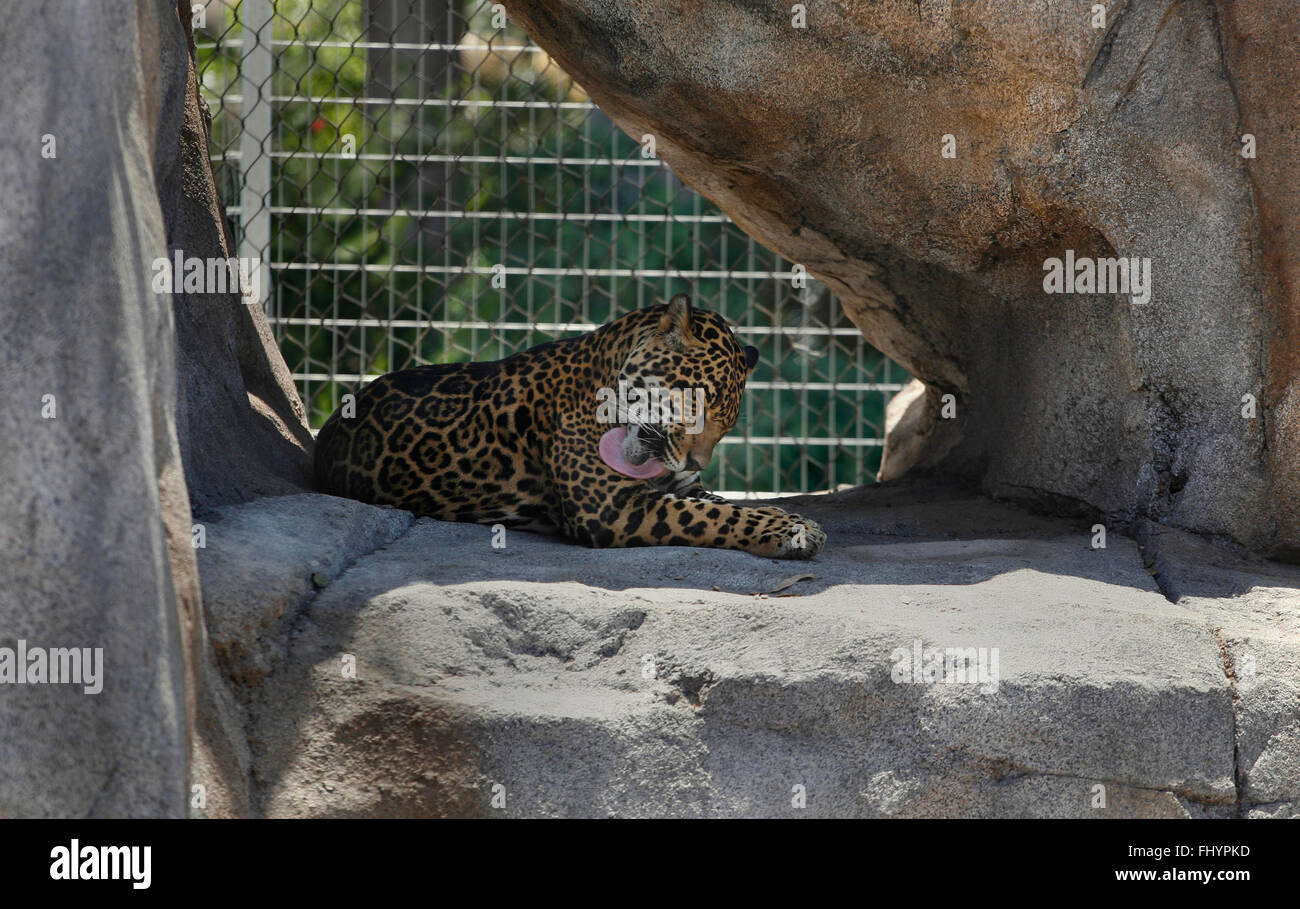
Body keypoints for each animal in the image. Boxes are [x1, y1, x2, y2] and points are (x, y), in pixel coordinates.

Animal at [312, 294, 827, 559]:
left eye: (728, 423)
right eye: (699, 401)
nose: (696, 462)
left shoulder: (678, 487)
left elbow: (723, 504)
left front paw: (794, 519)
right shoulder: (613, 509)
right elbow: (717, 517)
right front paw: (791, 531)